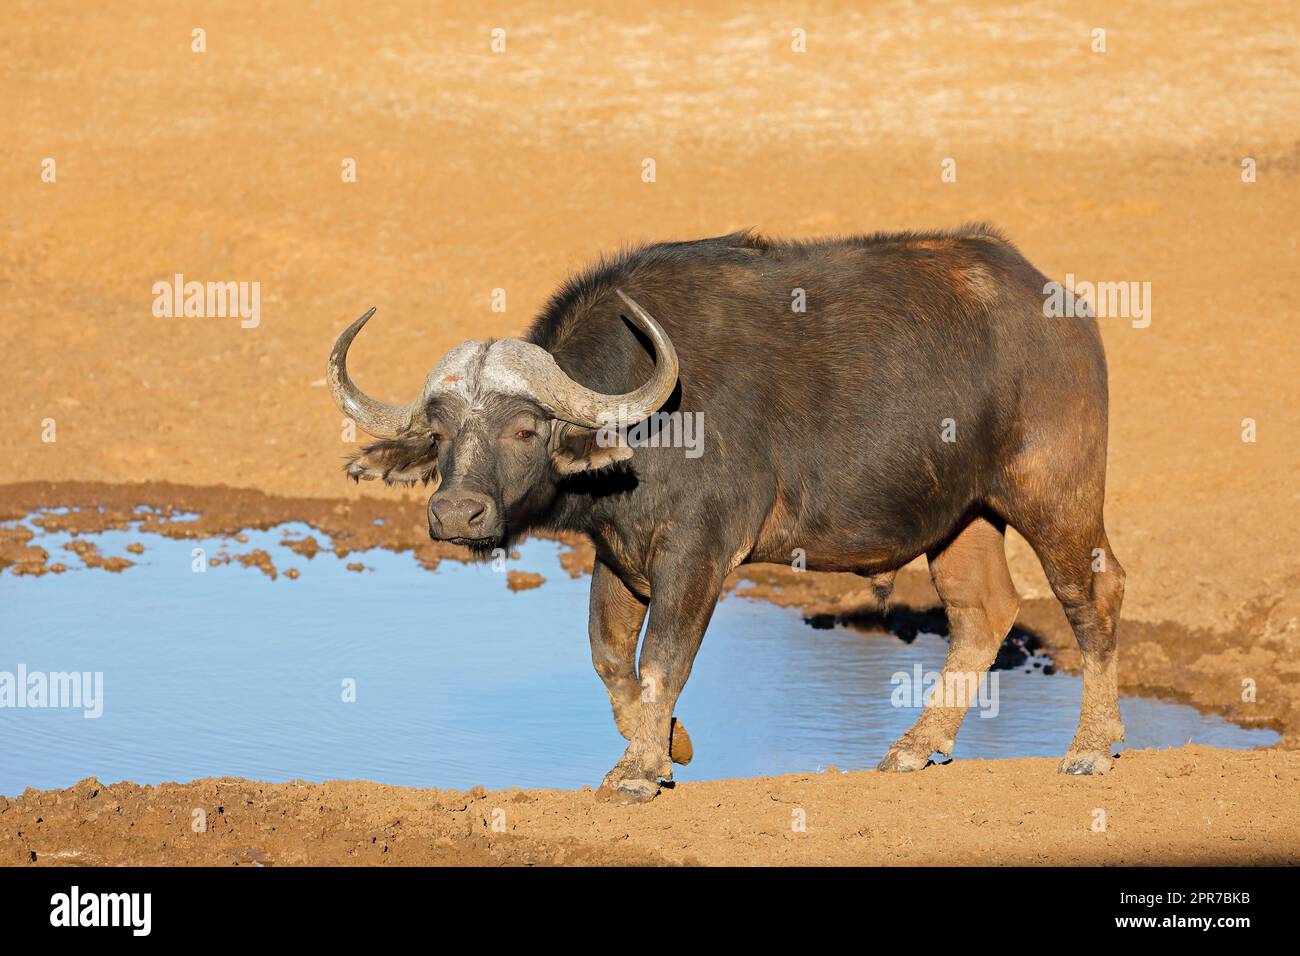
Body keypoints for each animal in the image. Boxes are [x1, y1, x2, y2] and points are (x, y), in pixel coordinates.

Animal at [327, 225, 1126, 802]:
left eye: (526, 429)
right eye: (439, 434)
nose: (456, 514)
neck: (648, 429)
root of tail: (1060, 307)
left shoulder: (697, 556)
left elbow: (661, 658)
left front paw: (637, 771)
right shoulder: (618, 556)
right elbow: (611, 659)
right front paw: (665, 748)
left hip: (1054, 494)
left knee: (1094, 593)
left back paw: (1091, 749)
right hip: (961, 518)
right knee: (983, 612)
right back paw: (914, 747)